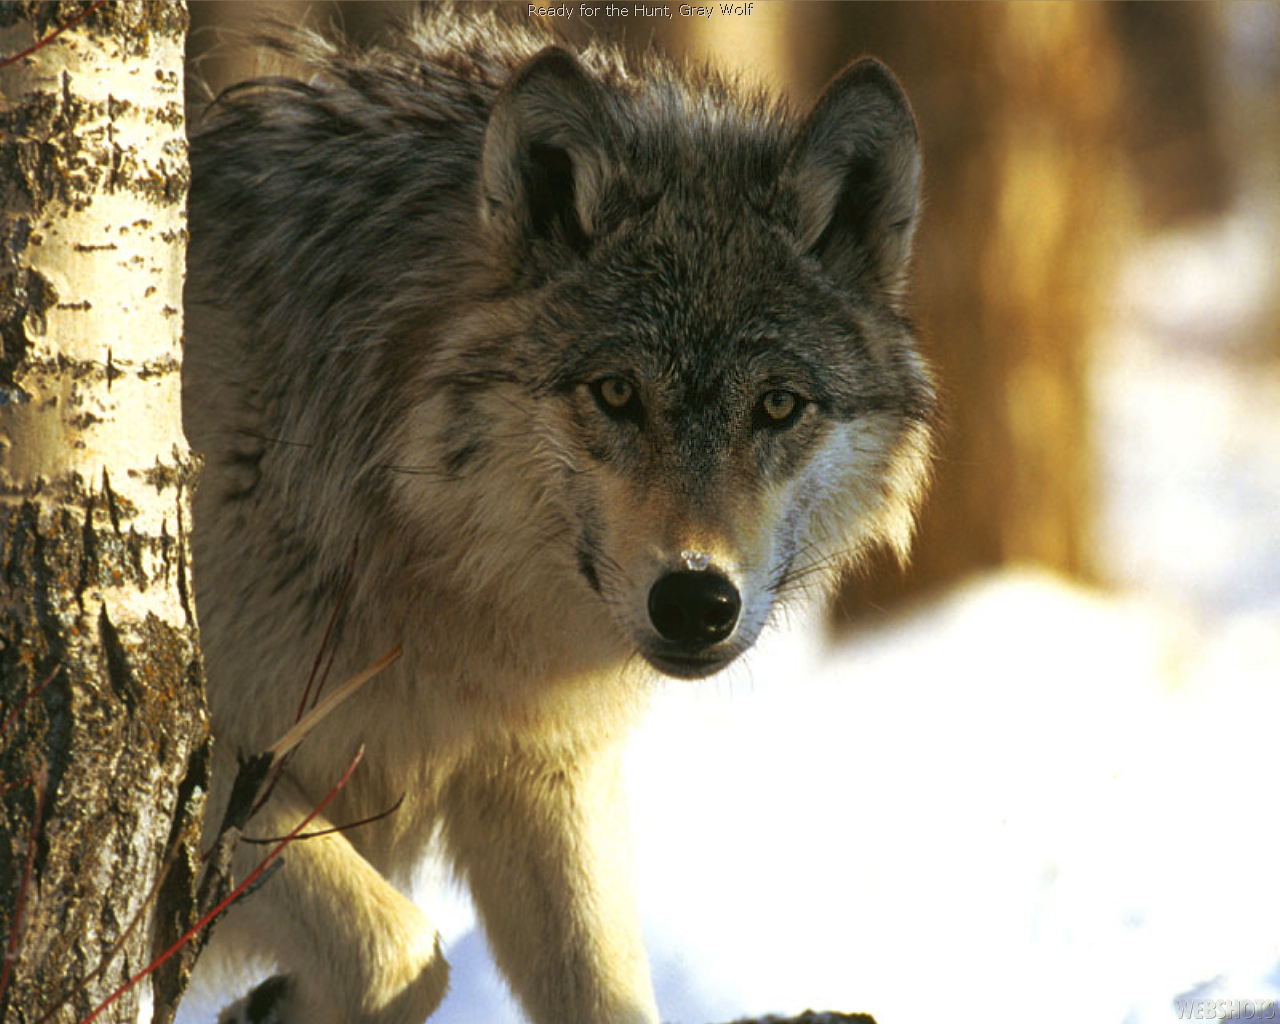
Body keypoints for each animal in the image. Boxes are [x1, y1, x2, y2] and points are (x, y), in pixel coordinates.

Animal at [183, 6, 935, 1024]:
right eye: (616, 393)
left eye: (777, 406)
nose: (695, 601)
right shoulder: (213, 752)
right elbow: (399, 953)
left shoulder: (546, 777)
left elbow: (605, 993)